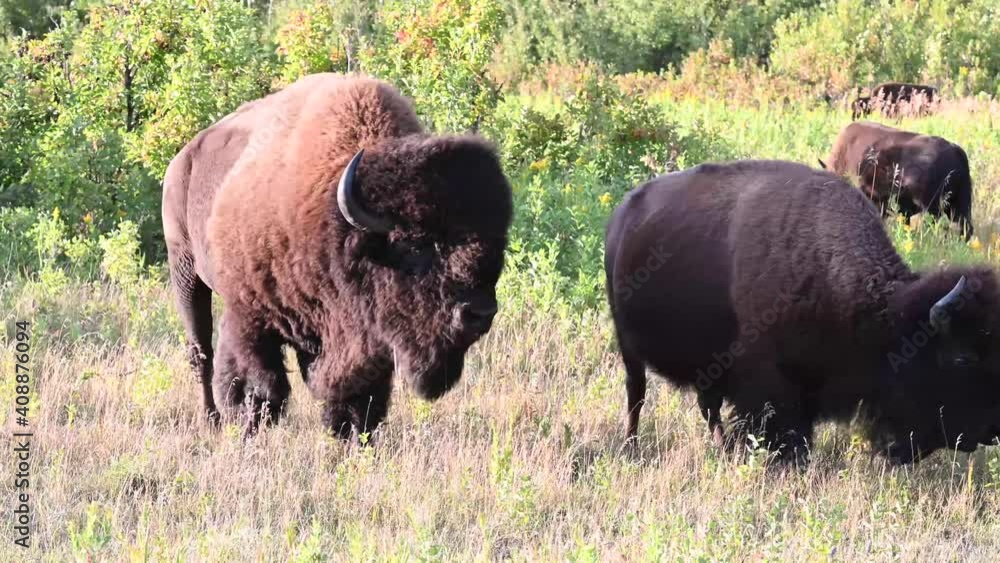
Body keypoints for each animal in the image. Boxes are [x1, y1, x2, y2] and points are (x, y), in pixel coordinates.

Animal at [163, 74, 513, 438]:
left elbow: (359, 396)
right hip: (185, 271)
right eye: (417, 244)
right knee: (201, 351)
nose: (480, 313)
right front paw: (245, 426)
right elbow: (258, 386)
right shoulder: (248, 314)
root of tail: (183, 159)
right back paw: (211, 418)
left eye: (497, 244)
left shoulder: (362, 338)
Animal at [606, 160, 1000, 462]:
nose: (993, 430)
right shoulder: (769, 388)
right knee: (636, 394)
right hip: (628, 347)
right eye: (962, 358)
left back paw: (720, 449)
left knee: (708, 407)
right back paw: (631, 447)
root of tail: (622, 215)